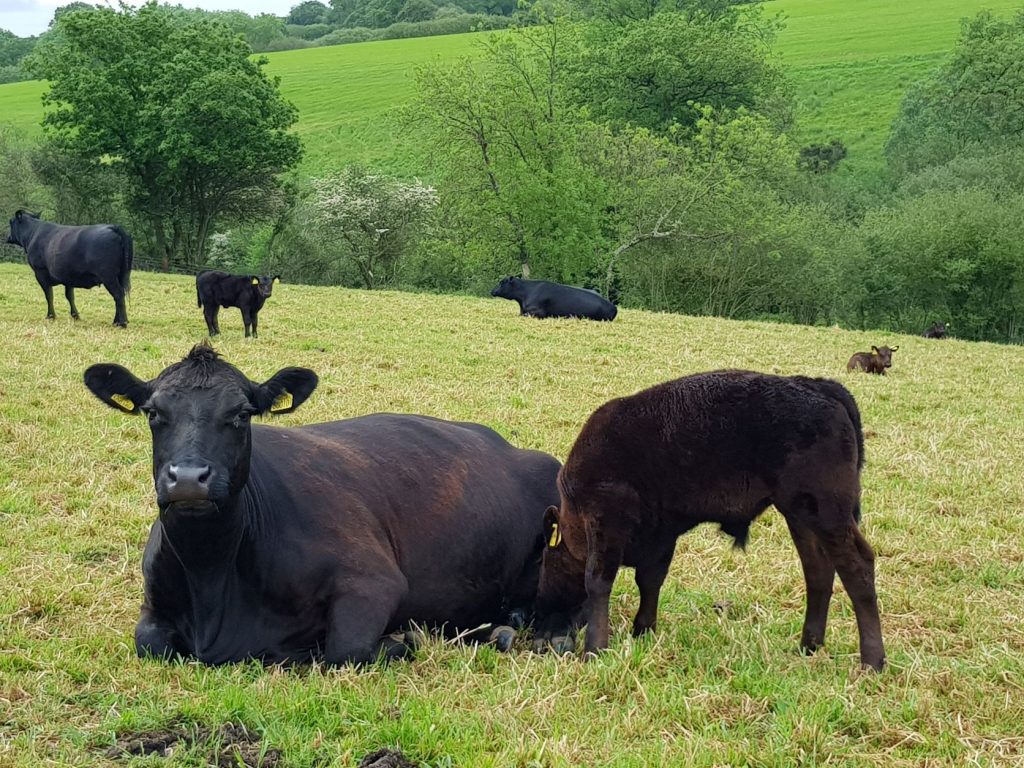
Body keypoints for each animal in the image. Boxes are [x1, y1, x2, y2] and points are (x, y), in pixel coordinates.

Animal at [82, 344, 560, 665]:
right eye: (153, 412)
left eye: (242, 414)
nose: (187, 478)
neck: (212, 577)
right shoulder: (154, 602)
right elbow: (149, 644)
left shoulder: (373, 580)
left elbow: (344, 649)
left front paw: (401, 640)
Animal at [532, 370, 885, 672]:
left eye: (546, 557)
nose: (542, 601)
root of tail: (820, 387)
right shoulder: (660, 536)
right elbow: (650, 580)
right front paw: (642, 630)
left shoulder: (605, 523)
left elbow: (598, 582)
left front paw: (594, 650)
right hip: (800, 516)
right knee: (818, 571)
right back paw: (809, 645)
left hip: (828, 515)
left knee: (858, 567)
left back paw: (872, 662)